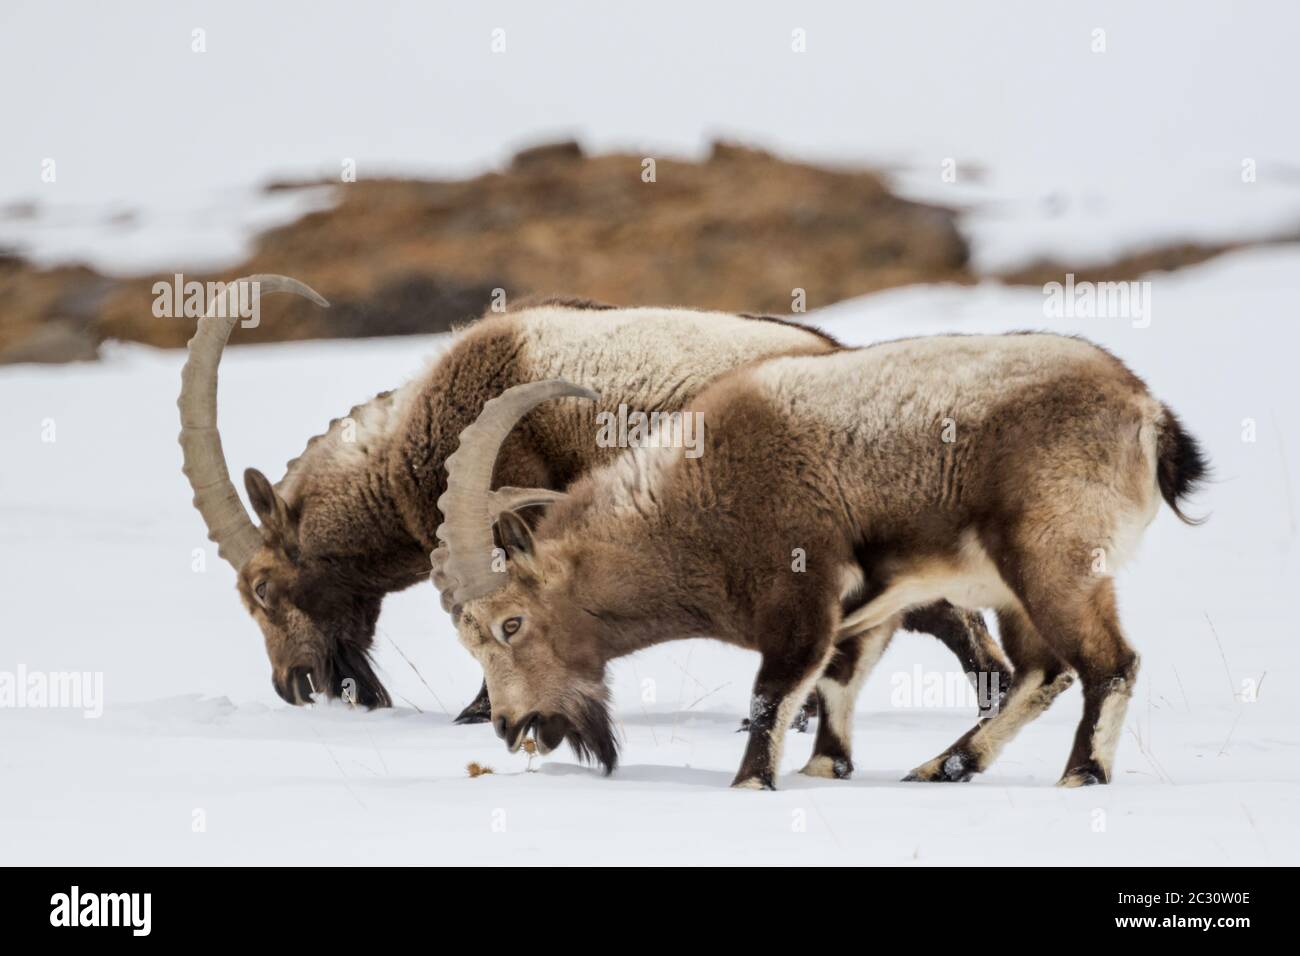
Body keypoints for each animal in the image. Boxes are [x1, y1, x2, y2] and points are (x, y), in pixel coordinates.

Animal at [437, 333, 1207, 788]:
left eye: (511, 624)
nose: (509, 725)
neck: (692, 500)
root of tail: (1147, 413)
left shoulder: (802, 592)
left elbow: (774, 693)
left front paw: (752, 781)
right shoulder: (870, 608)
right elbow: (837, 683)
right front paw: (824, 767)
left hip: (1054, 558)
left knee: (1108, 663)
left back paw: (1082, 773)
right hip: (1014, 585)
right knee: (1042, 671)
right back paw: (946, 764)